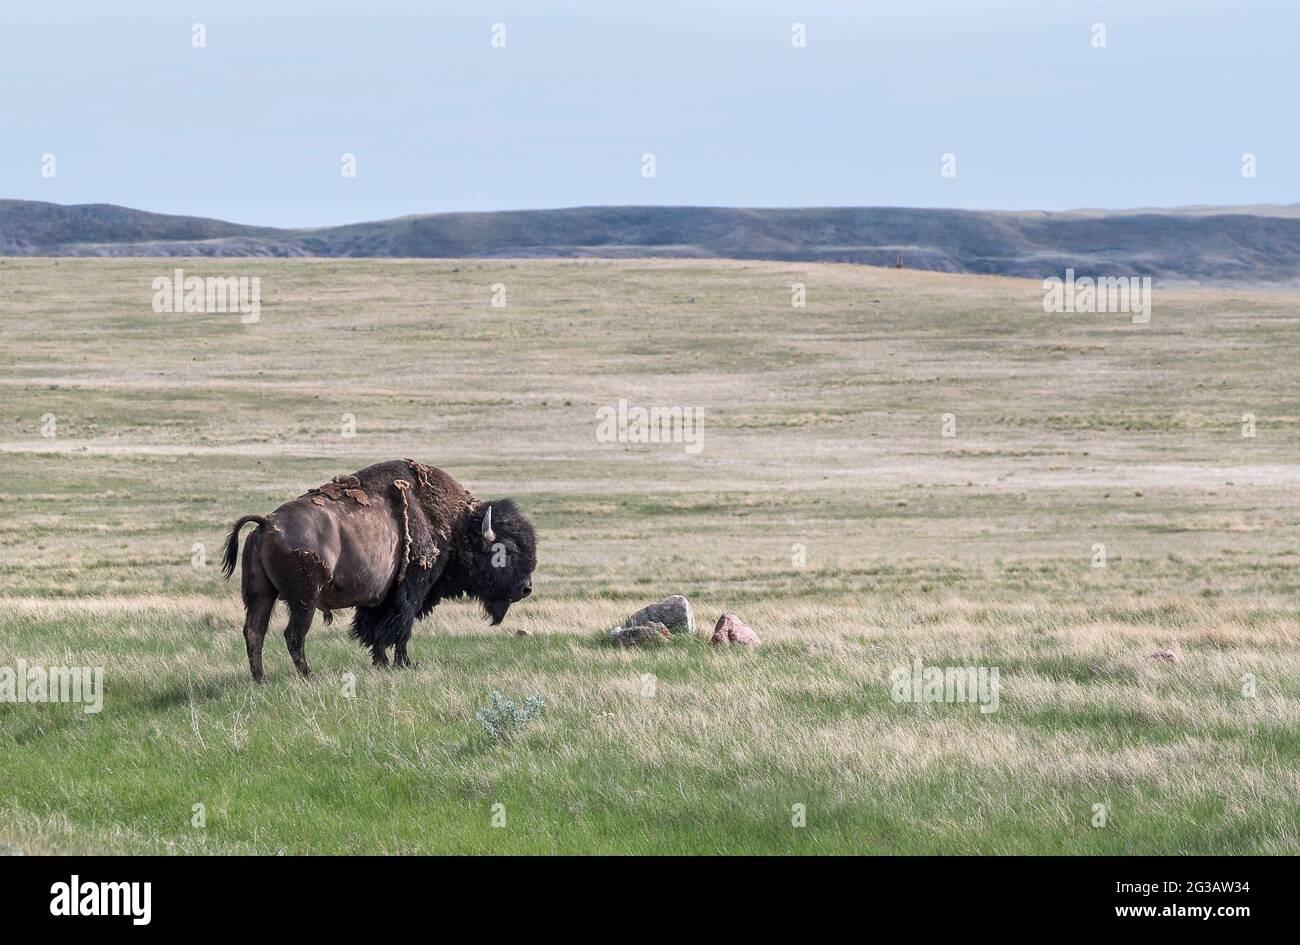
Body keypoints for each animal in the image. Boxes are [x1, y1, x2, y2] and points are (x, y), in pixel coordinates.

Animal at [221, 459, 536, 681]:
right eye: (505, 551)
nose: (526, 588)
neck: (454, 523)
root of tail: (267, 523)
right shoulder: (412, 589)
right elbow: (400, 627)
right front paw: (403, 663)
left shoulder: (378, 599)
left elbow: (376, 630)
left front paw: (381, 662)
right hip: (304, 600)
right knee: (293, 635)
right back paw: (308, 676)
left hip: (261, 595)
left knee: (255, 632)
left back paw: (260, 679)